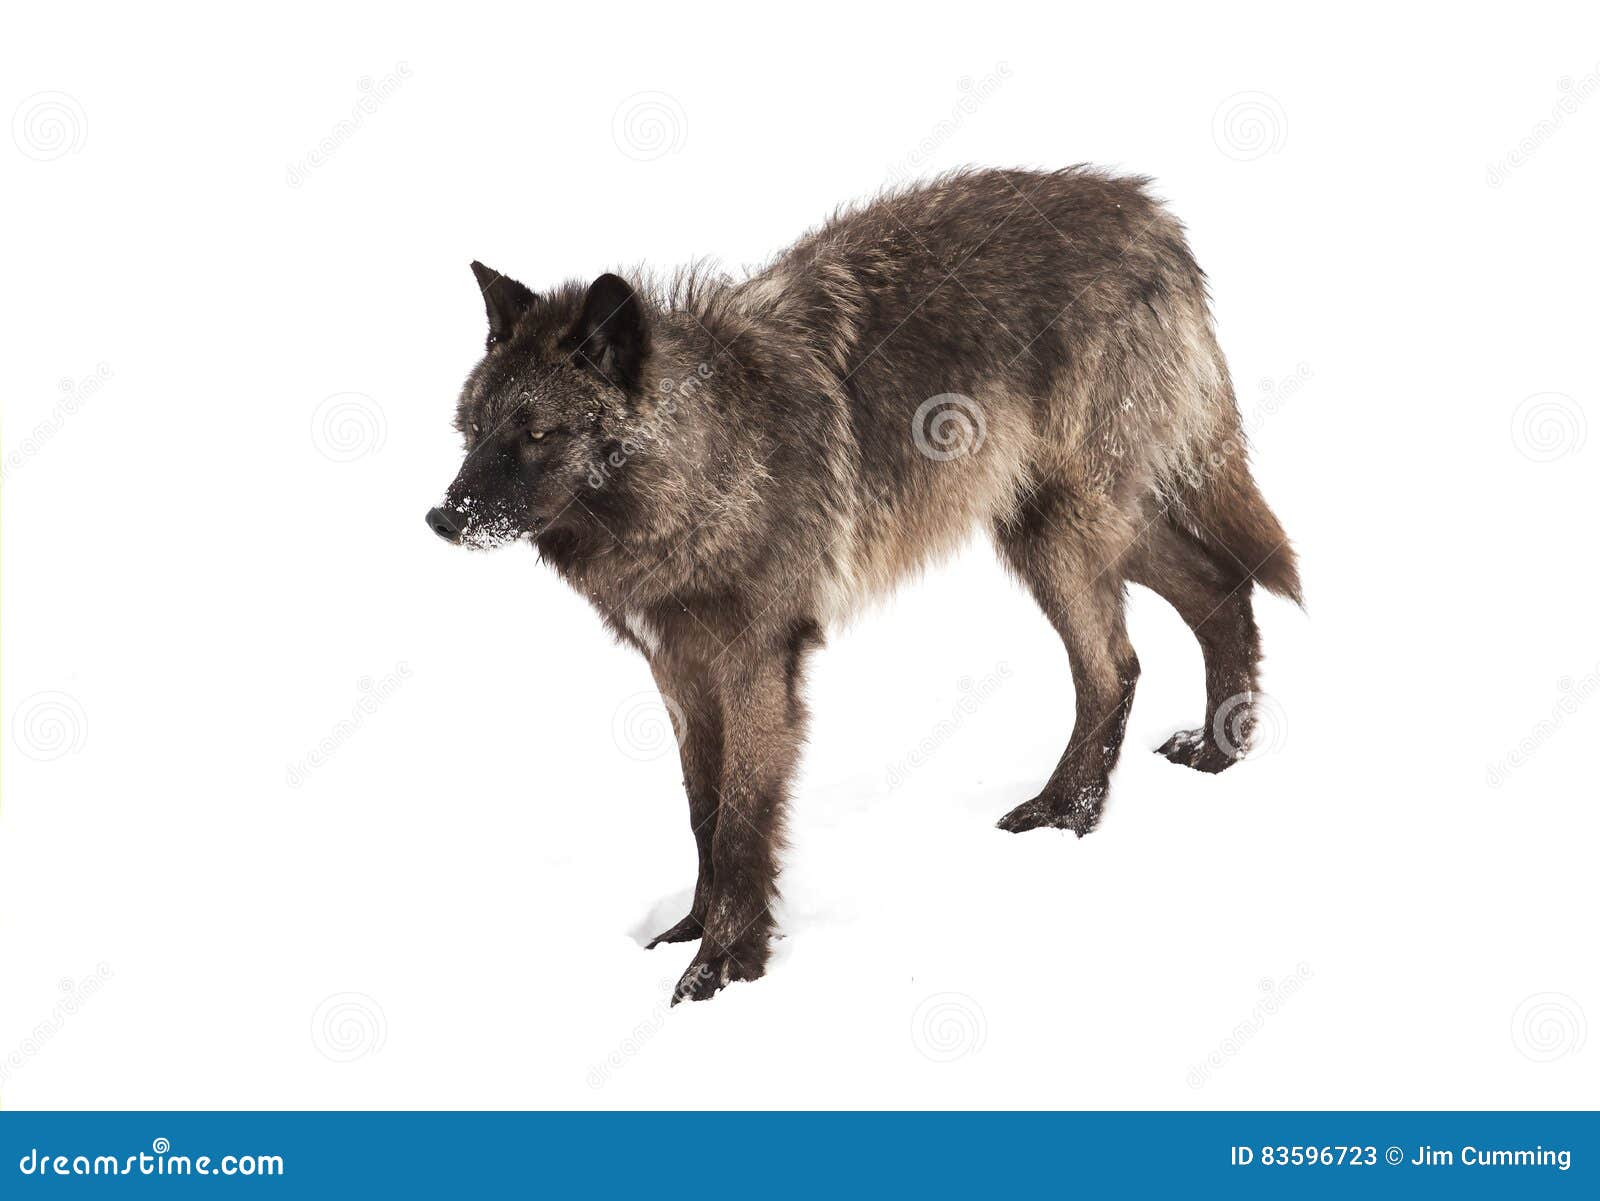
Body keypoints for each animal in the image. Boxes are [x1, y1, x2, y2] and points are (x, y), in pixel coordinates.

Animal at [426, 167, 1301, 1002]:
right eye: (474, 430)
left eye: (539, 433)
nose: (442, 516)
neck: (709, 463)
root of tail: (1149, 213)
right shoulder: (680, 672)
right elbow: (703, 812)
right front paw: (691, 931)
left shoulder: (757, 670)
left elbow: (741, 823)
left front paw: (720, 971)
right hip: (1054, 528)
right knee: (1218, 589)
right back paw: (1214, 754)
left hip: (1064, 536)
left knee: (1116, 665)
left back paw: (1069, 817)